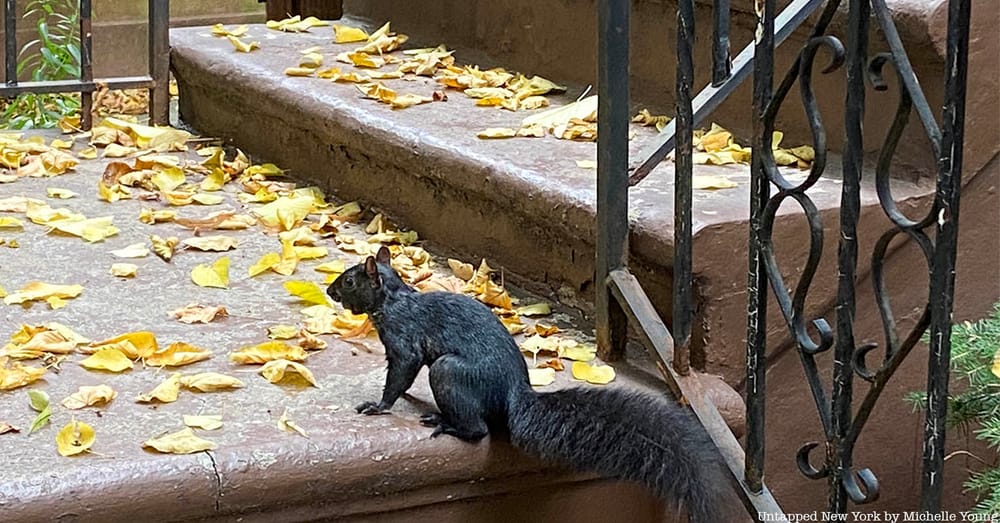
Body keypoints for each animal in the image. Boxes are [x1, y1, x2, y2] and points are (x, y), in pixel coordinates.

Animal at [326, 246, 730, 522]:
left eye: (350, 280)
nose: (330, 292)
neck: (394, 300)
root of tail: (513, 395)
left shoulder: (404, 340)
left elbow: (399, 373)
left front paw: (379, 406)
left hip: (448, 371)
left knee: (478, 430)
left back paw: (448, 423)